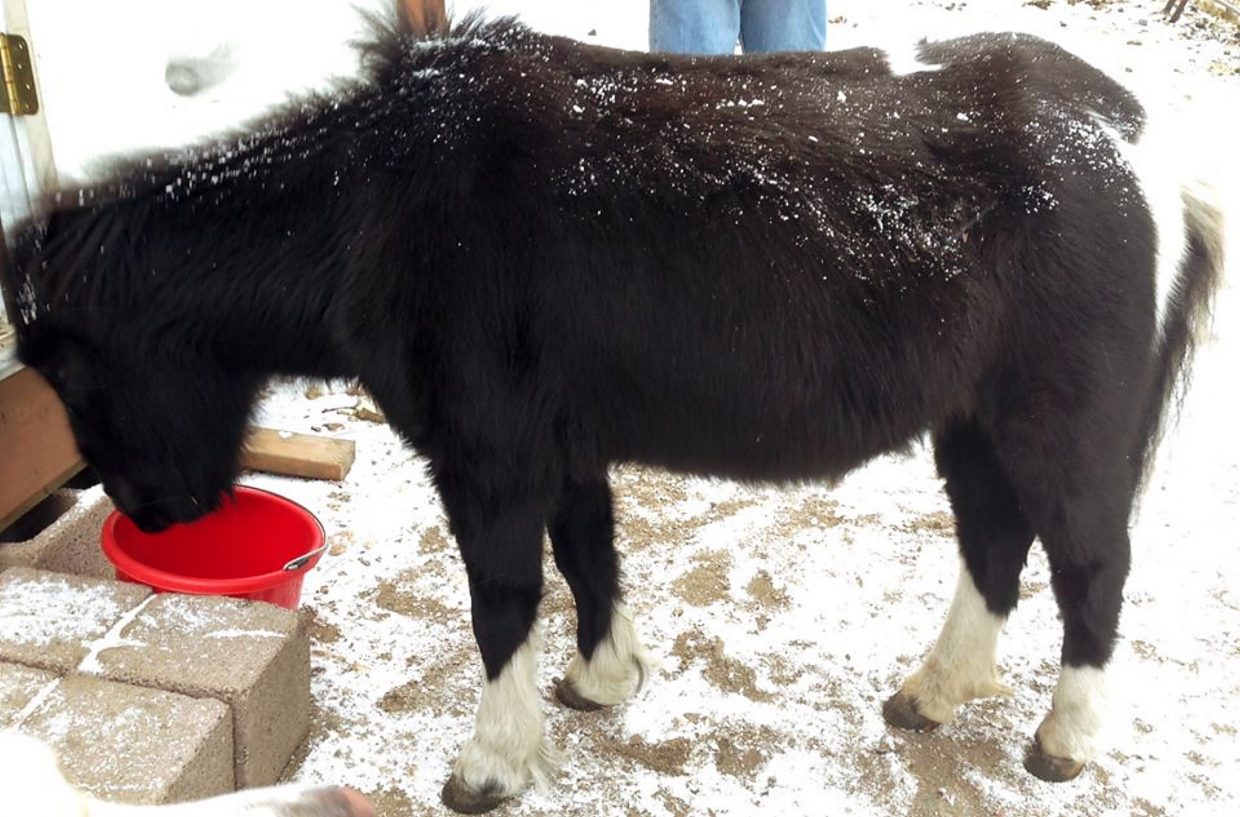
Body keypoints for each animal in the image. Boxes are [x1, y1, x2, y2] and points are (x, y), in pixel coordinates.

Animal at [10, 4, 1224, 812]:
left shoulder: (488, 458)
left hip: (1055, 428)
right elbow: (589, 552)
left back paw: (1063, 739)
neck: (381, 207)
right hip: (973, 425)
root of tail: (1138, 145)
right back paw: (932, 693)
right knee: (994, 544)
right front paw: (602, 680)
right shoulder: (561, 446)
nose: (147, 510)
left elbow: (504, 597)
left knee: (1089, 565)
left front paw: (489, 763)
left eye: (67, 365)